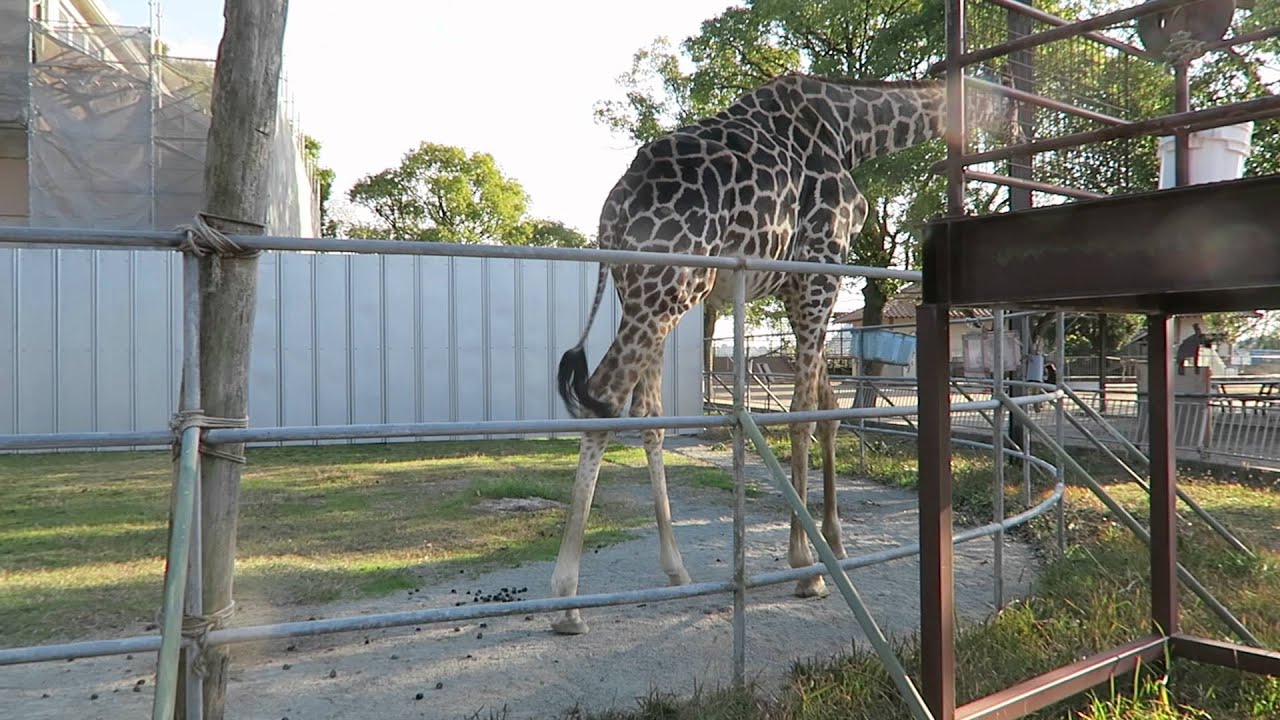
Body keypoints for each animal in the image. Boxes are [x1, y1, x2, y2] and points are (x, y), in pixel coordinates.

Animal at [551, 71, 1009, 635]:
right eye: (1007, 102)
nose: (1014, 133)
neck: (853, 131)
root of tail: (609, 216)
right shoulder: (819, 267)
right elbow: (802, 414)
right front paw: (806, 566)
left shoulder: (801, 284)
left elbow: (828, 407)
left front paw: (833, 544)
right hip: (667, 290)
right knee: (605, 397)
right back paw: (567, 602)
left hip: (650, 293)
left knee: (647, 413)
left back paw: (676, 569)